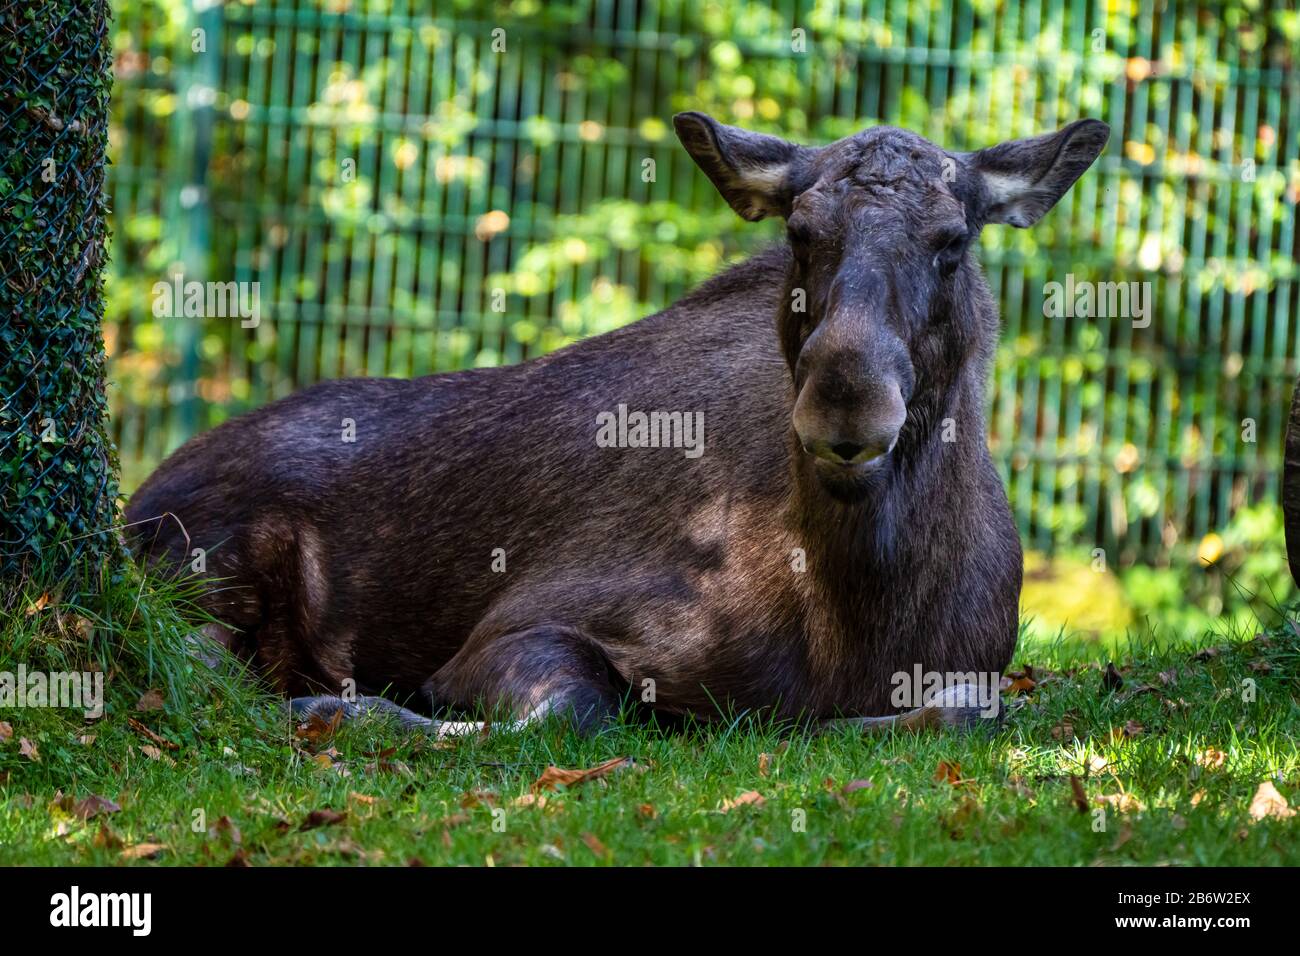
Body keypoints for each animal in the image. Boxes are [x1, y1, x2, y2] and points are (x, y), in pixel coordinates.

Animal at [126, 114, 1109, 738]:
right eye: (799, 231)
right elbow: (573, 714)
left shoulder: (973, 668)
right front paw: (336, 710)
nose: (846, 399)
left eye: (953, 239)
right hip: (200, 563)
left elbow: (962, 712)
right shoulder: (513, 631)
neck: (857, 608)